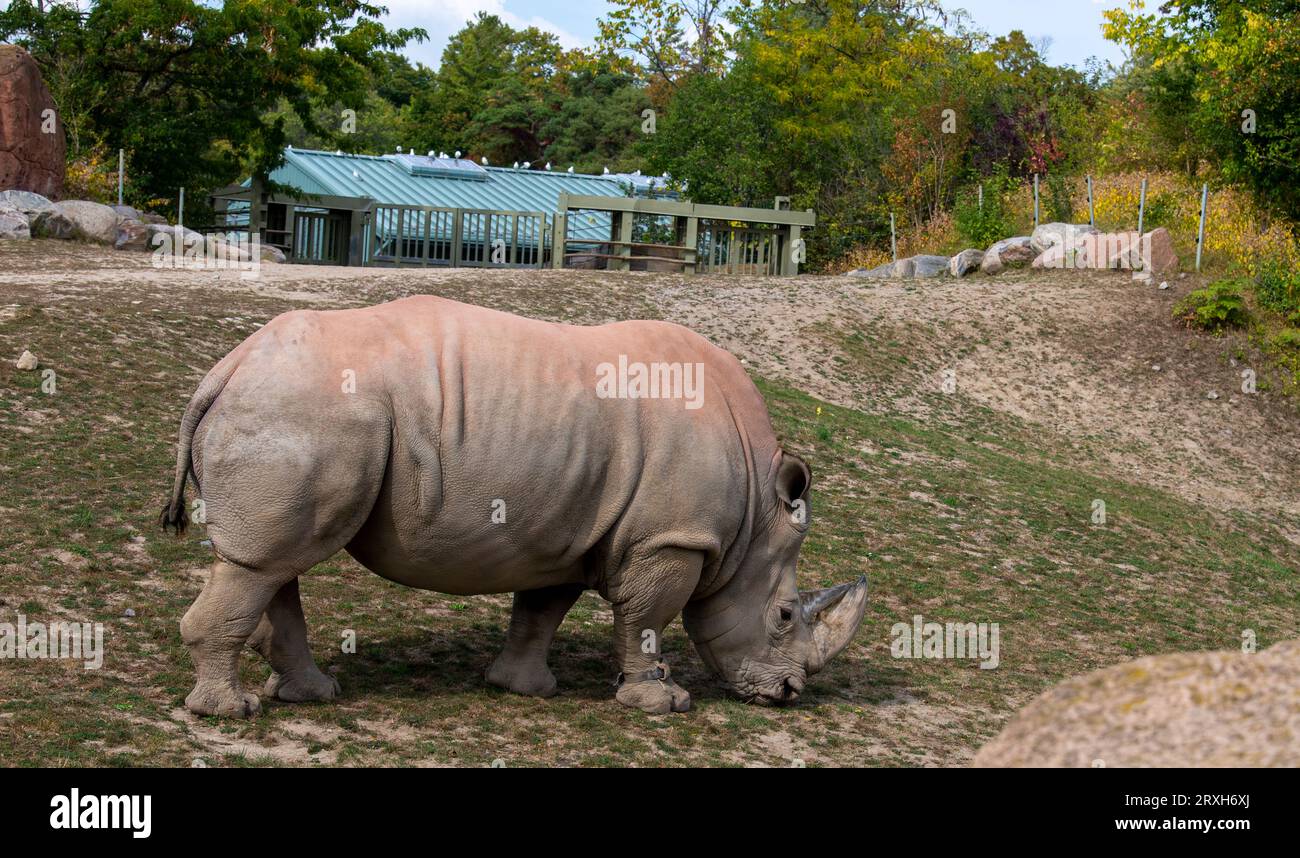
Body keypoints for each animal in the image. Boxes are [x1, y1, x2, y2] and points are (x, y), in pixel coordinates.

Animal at [161, 295, 868, 717]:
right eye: (783, 616)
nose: (788, 693)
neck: (754, 512)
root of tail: (225, 368)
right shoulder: (670, 537)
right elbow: (647, 617)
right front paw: (662, 704)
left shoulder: (571, 529)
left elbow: (541, 611)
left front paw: (525, 688)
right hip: (303, 409)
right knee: (267, 562)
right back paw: (232, 712)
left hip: (293, 407)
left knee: (271, 562)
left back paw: (310, 696)